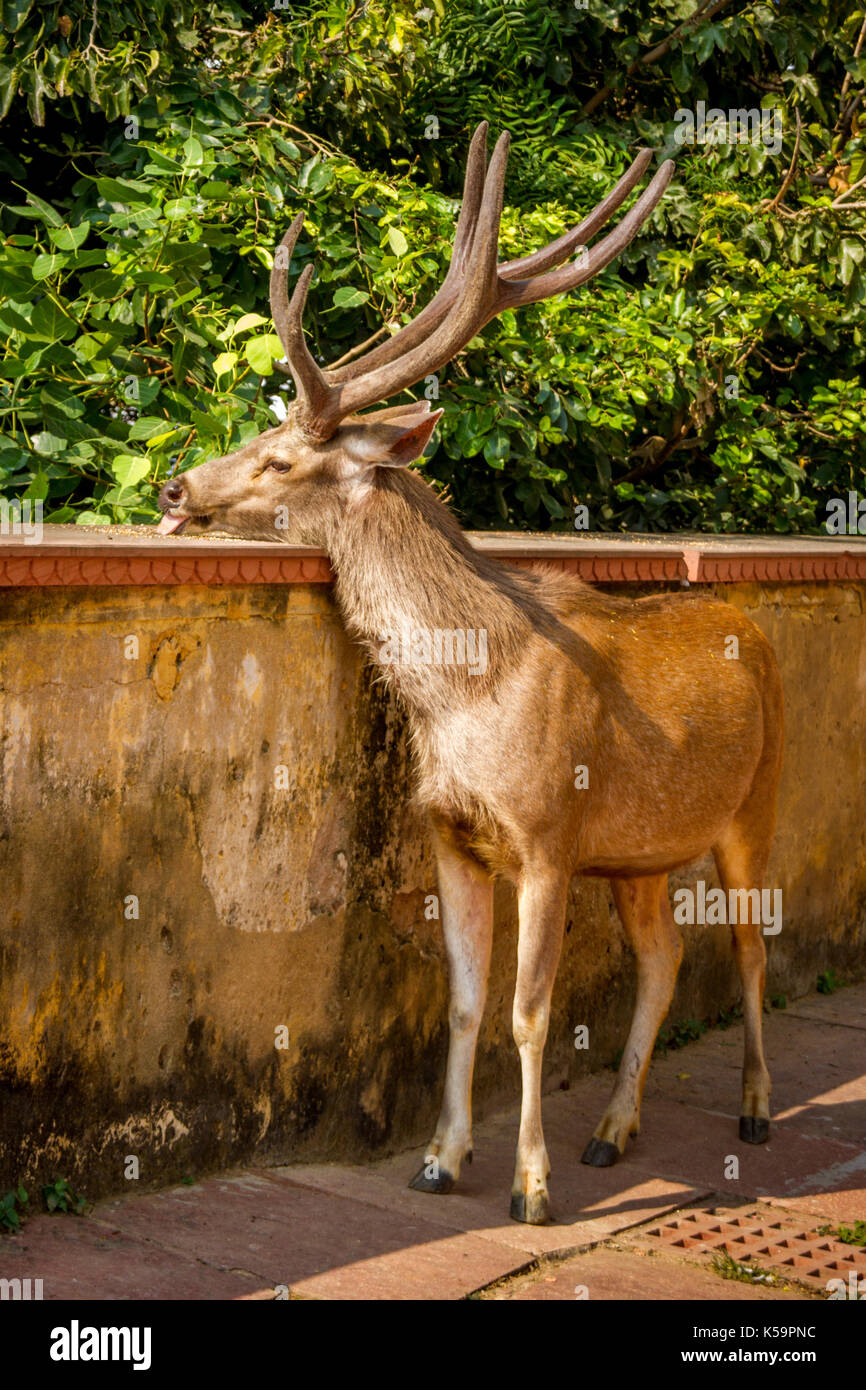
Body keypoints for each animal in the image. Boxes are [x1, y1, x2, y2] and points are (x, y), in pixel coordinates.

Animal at [156, 124, 784, 1225]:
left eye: (278, 460)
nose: (176, 487)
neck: (462, 696)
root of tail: (749, 627)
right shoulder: (451, 833)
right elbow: (459, 1002)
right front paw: (443, 1158)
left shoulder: (546, 834)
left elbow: (529, 1012)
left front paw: (527, 1185)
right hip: (642, 850)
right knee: (663, 957)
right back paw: (612, 1130)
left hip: (757, 801)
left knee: (751, 949)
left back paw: (750, 1111)